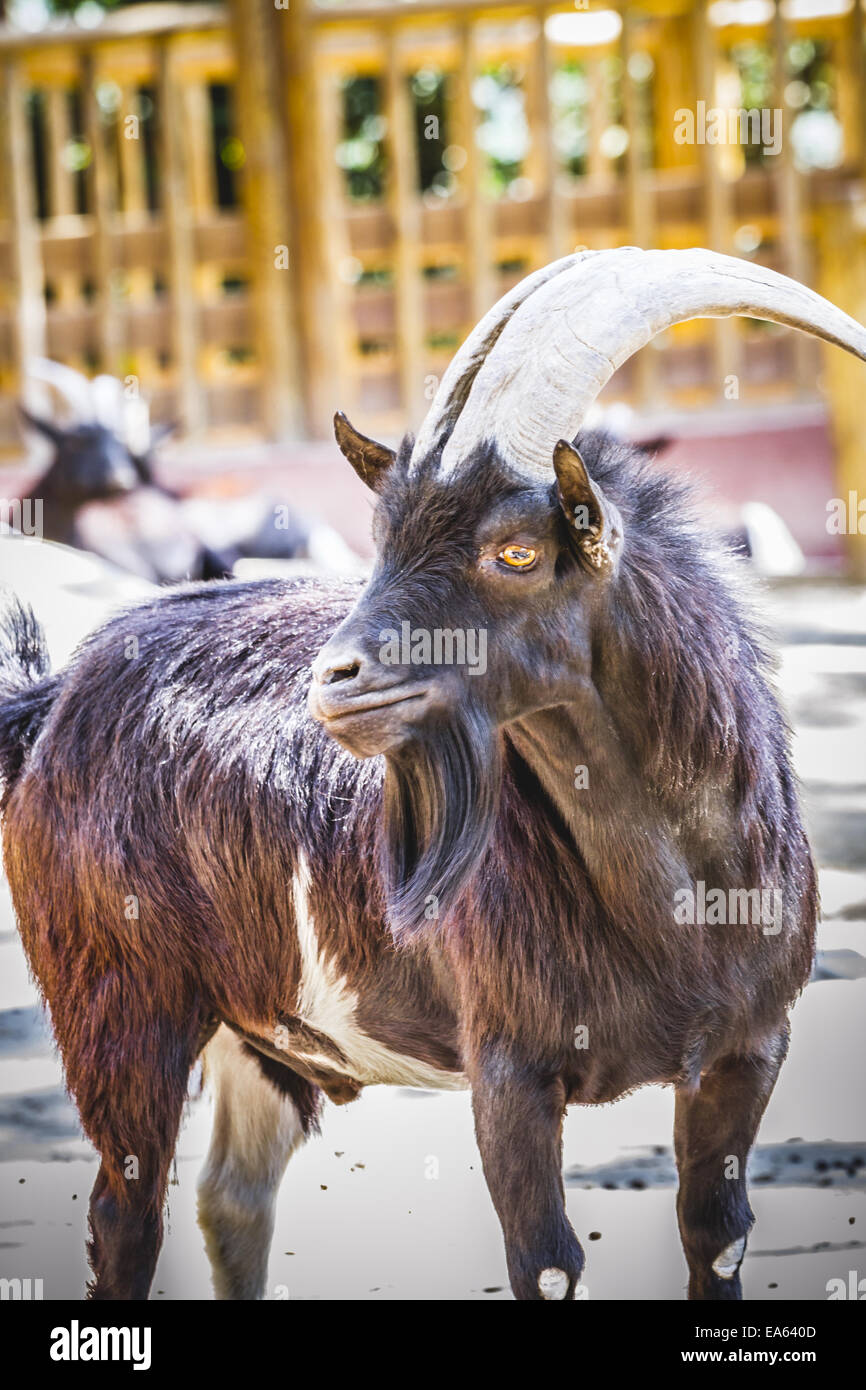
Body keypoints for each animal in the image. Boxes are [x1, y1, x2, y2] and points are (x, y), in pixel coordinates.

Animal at [1, 248, 865, 1302]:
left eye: (518, 551)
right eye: (381, 539)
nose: (335, 679)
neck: (678, 902)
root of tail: (54, 699)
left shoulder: (747, 1050)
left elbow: (719, 1233)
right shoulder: (510, 1068)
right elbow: (546, 1261)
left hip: (260, 1030)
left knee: (231, 1200)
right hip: (117, 1002)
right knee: (125, 1220)